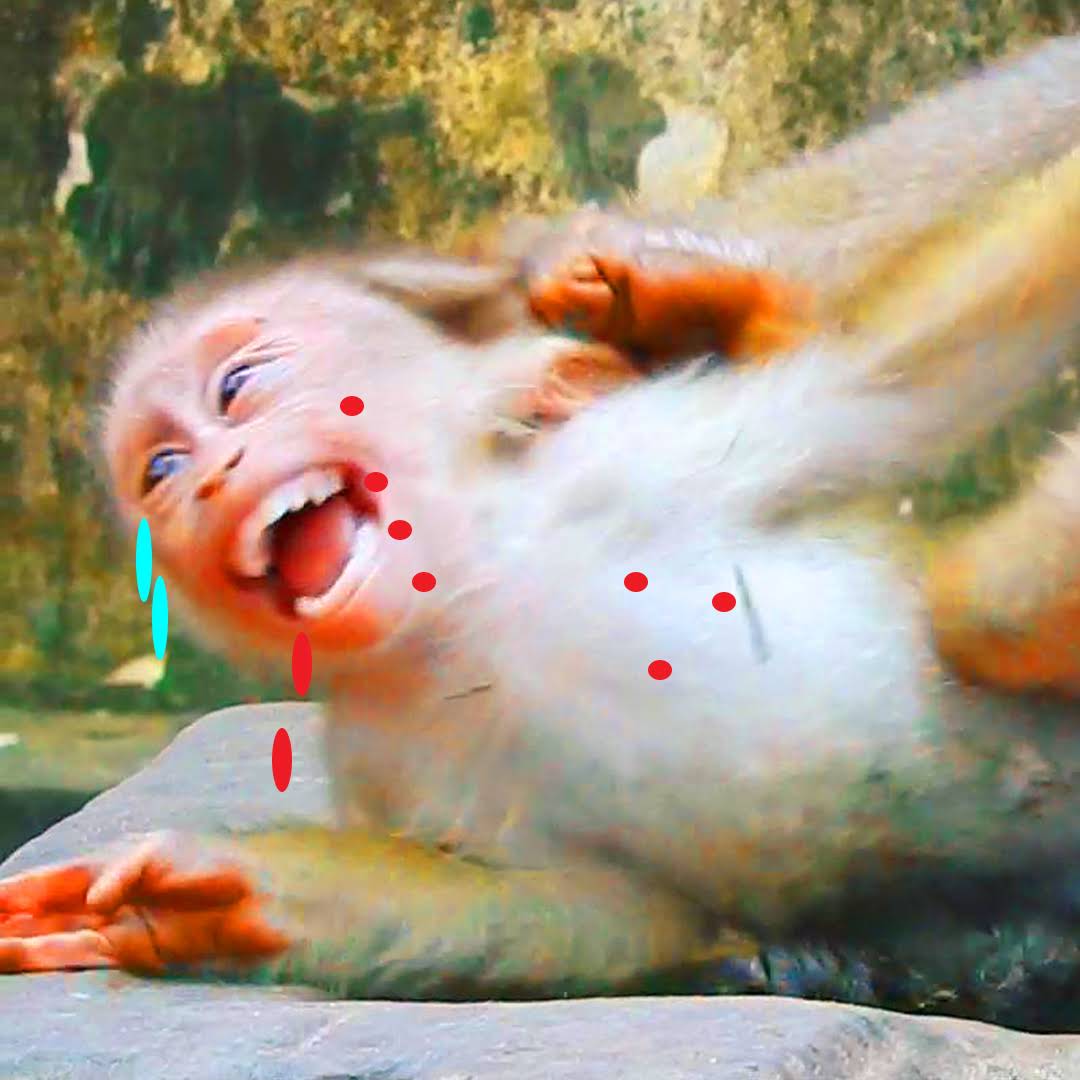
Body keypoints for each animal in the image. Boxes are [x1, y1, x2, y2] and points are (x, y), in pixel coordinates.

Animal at [0, 36, 1078, 1028]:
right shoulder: (383, 757)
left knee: (980, 605)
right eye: (161, 469)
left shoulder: (660, 440)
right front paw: (201, 898)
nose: (211, 480)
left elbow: (936, 357)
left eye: (239, 386)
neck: (467, 596)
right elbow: (599, 904)